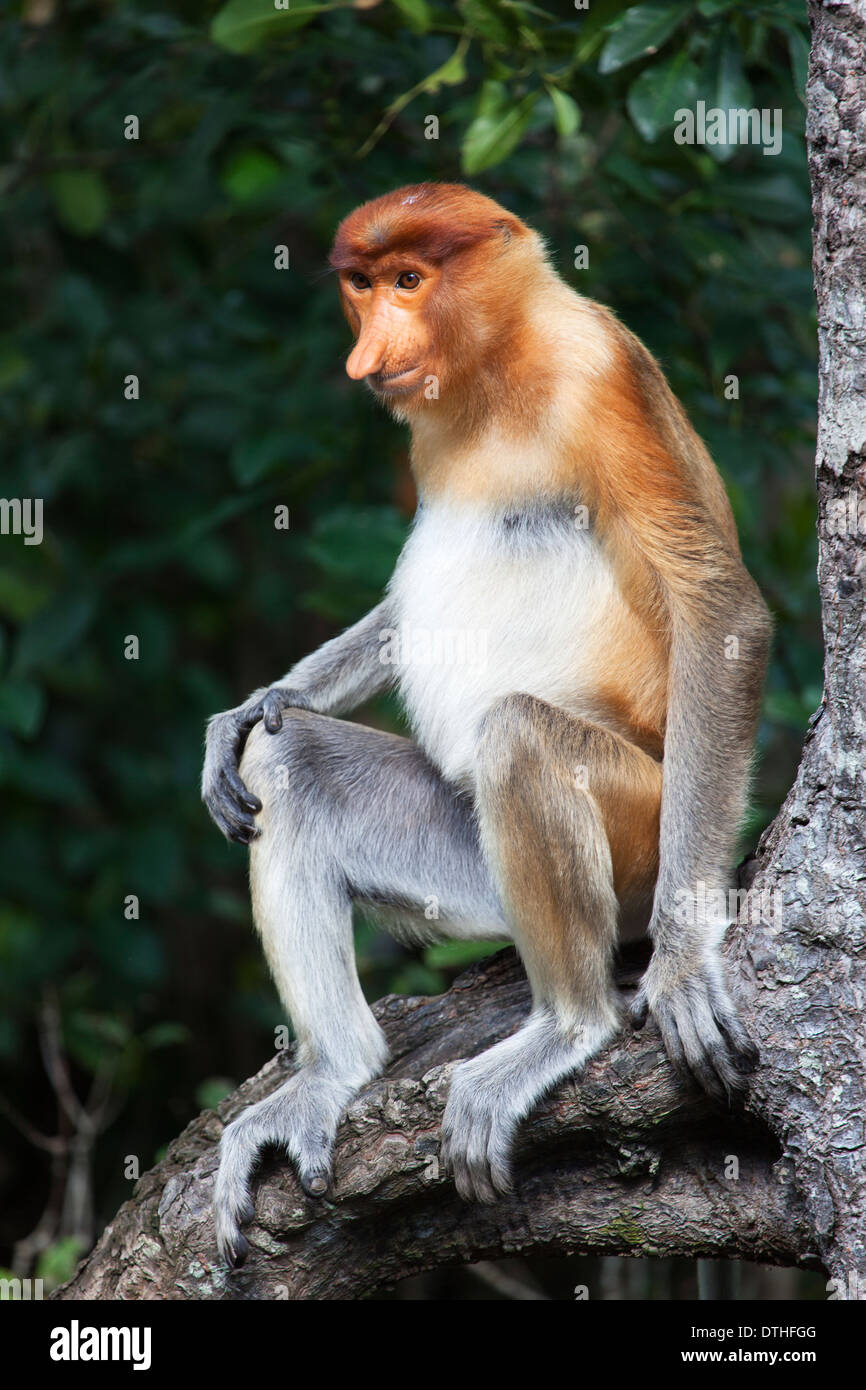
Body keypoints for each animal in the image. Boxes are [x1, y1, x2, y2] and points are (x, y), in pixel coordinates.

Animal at [202, 183, 771, 1267]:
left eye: (410, 280)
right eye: (363, 285)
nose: (368, 352)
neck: (500, 363)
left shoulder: (602, 374)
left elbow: (718, 612)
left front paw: (685, 964)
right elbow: (384, 628)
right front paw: (250, 709)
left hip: (642, 827)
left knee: (518, 734)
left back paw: (571, 1025)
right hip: (465, 869)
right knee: (291, 767)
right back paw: (335, 1073)